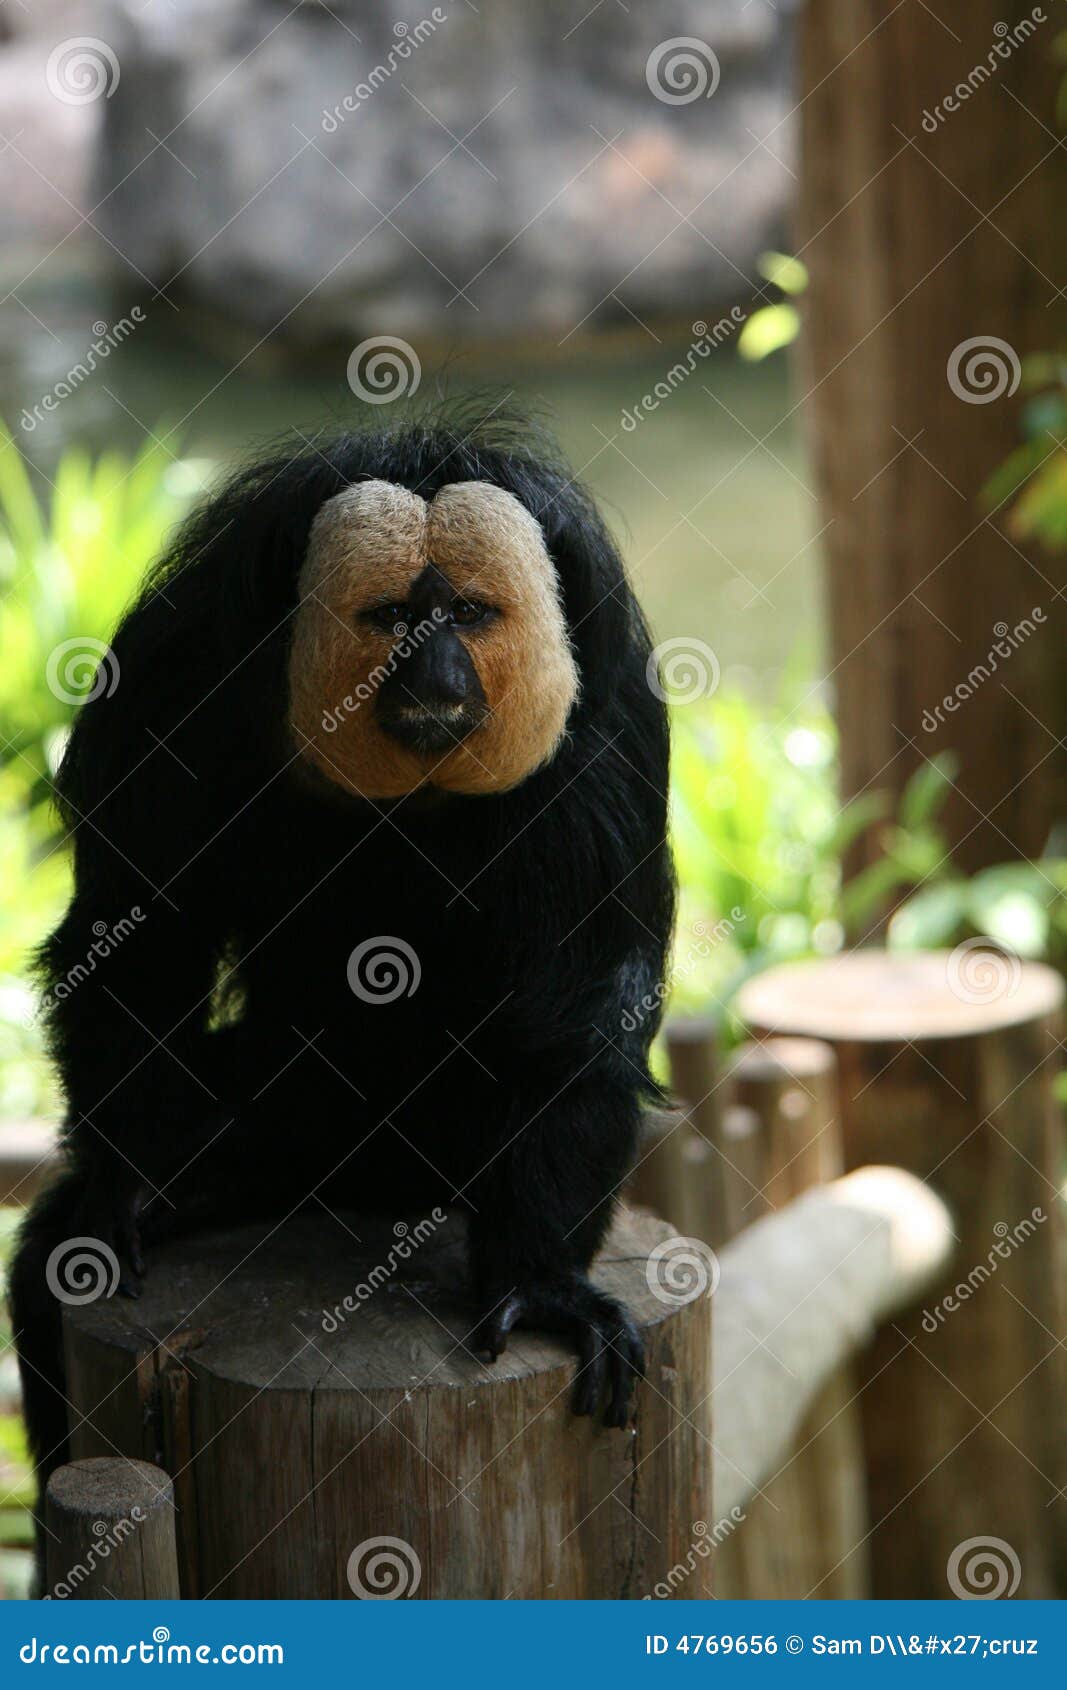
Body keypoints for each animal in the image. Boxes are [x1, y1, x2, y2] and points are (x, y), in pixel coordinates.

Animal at [8, 403, 675, 1578]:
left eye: (468, 613)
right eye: (392, 617)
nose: (438, 675)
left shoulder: (598, 724)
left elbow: (584, 994)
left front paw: (541, 1277)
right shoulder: (182, 673)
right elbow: (138, 928)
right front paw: (133, 1186)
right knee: (51, 1261)